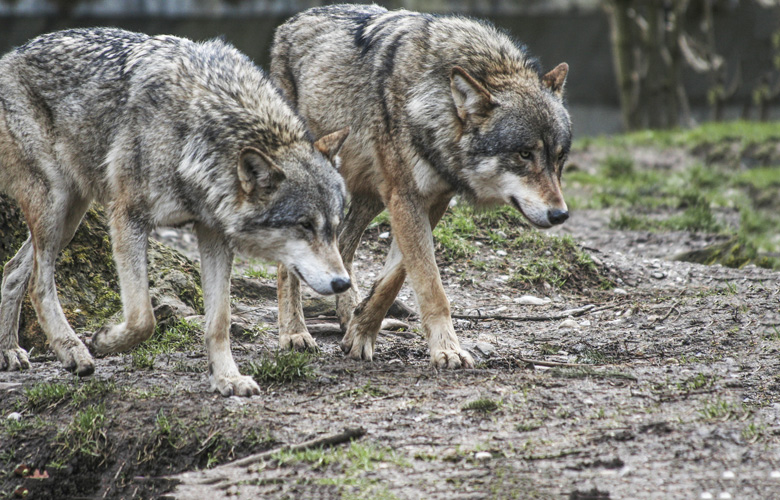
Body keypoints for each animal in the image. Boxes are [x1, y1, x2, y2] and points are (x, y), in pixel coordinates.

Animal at [0, 28, 351, 396]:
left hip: (70, 218)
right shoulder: (126, 216)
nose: (343, 282)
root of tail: (10, 56)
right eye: (305, 225)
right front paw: (105, 340)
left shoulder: (213, 232)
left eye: (334, 227)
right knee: (39, 283)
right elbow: (143, 318)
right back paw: (73, 350)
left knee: (14, 270)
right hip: (56, 206)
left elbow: (220, 320)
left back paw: (10, 351)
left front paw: (228, 378)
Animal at [271, 4, 571, 368]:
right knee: (289, 264)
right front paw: (447, 349)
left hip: (370, 196)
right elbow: (431, 286)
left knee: (343, 247)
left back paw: (345, 313)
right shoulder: (406, 198)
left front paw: (360, 331)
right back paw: (293, 333)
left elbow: (395, 278)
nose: (560, 215)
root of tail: (293, 20)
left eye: (559, 158)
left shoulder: (432, 200)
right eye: (525, 154)